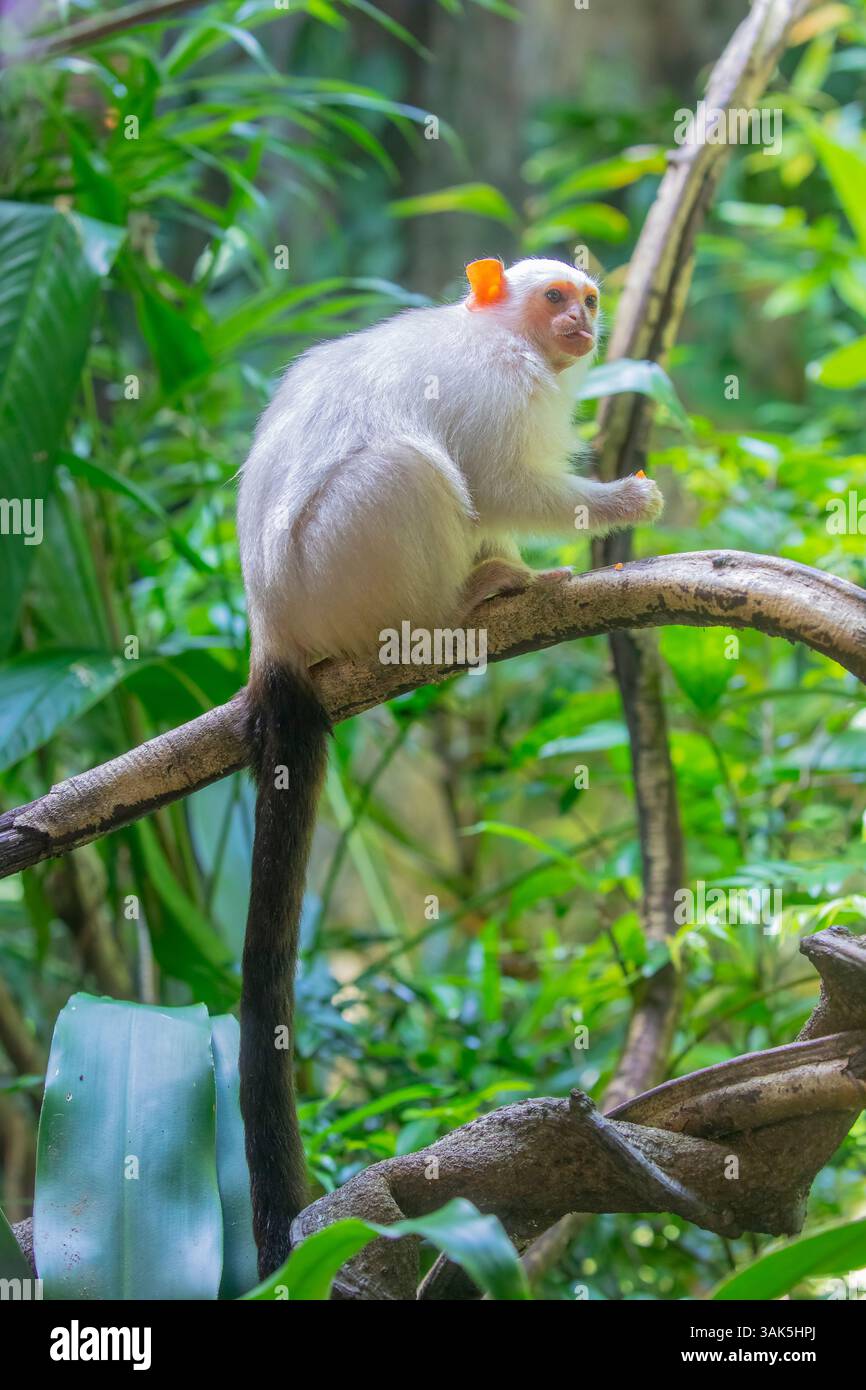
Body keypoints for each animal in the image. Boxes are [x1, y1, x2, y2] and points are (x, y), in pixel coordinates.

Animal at [236, 255, 663, 1276]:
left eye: (590, 299)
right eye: (556, 300)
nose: (585, 327)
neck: (496, 331)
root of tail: (274, 627)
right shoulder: (499, 386)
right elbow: (497, 480)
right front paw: (618, 503)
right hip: (343, 568)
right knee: (412, 474)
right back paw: (467, 596)